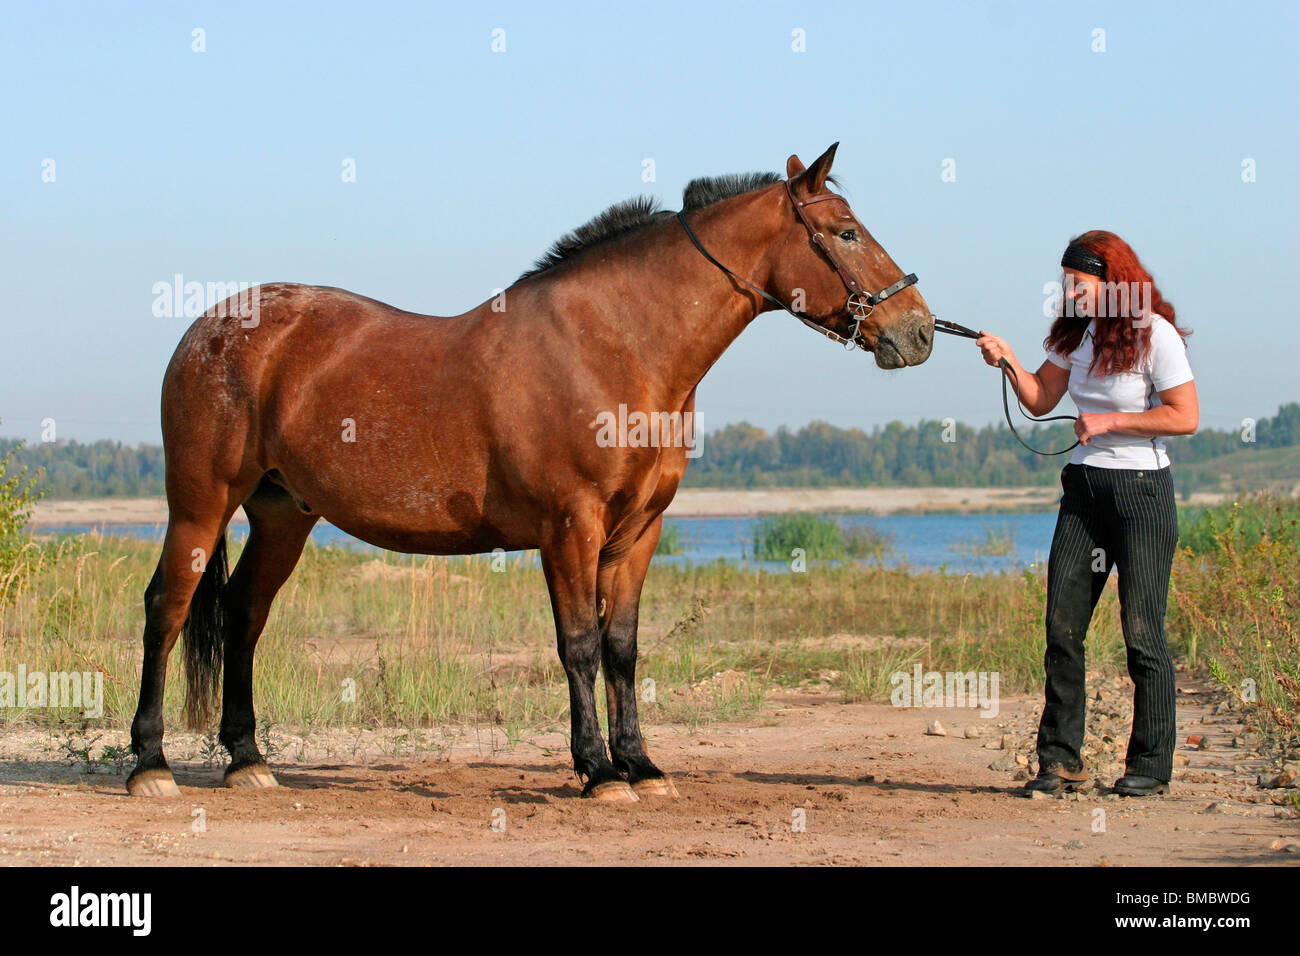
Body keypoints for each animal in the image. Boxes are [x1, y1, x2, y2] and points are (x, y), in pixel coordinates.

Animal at [127, 142, 934, 802]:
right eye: (846, 231)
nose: (919, 331)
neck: (612, 346)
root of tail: (209, 326)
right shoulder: (569, 527)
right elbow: (577, 645)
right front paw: (599, 773)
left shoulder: (638, 534)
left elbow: (622, 647)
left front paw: (642, 766)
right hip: (200, 504)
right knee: (168, 607)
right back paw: (150, 765)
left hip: (282, 512)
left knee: (243, 613)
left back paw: (247, 760)